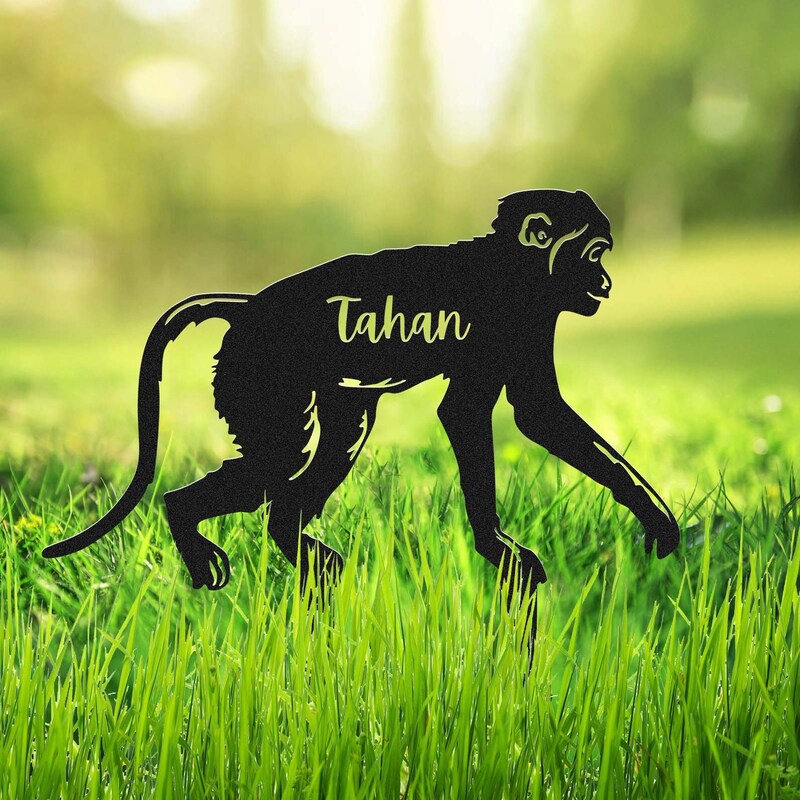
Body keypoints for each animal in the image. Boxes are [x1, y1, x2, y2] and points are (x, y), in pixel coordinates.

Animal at [43, 189, 680, 606]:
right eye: (594, 254)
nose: (606, 284)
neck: (512, 267)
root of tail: (248, 306)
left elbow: (517, 413)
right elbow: (493, 414)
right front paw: (501, 545)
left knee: (327, 449)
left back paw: (298, 548)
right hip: (260, 374)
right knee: (280, 462)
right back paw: (197, 523)